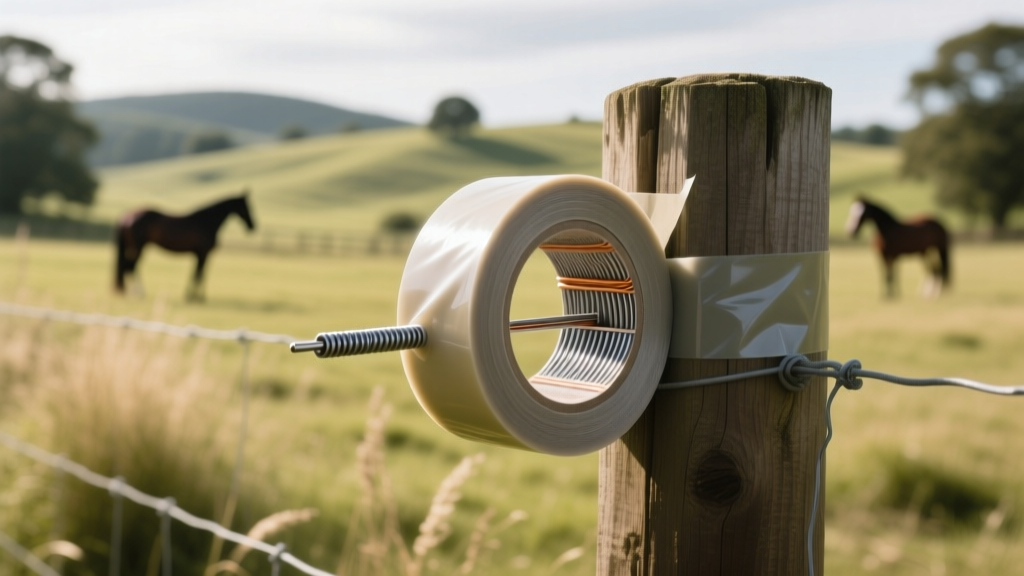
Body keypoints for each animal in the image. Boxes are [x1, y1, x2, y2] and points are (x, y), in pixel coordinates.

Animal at [115, 192, 255, 301]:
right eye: (246, 206)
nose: (252, 225)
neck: (207, 221)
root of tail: (126, 217)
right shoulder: (204, 253)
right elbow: (200, 274)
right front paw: (199, 298)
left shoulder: (198, 254)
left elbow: (196, 273)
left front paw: (191, 296)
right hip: (139, 247)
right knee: (130, 267)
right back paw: (139, 292)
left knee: (128, 267)